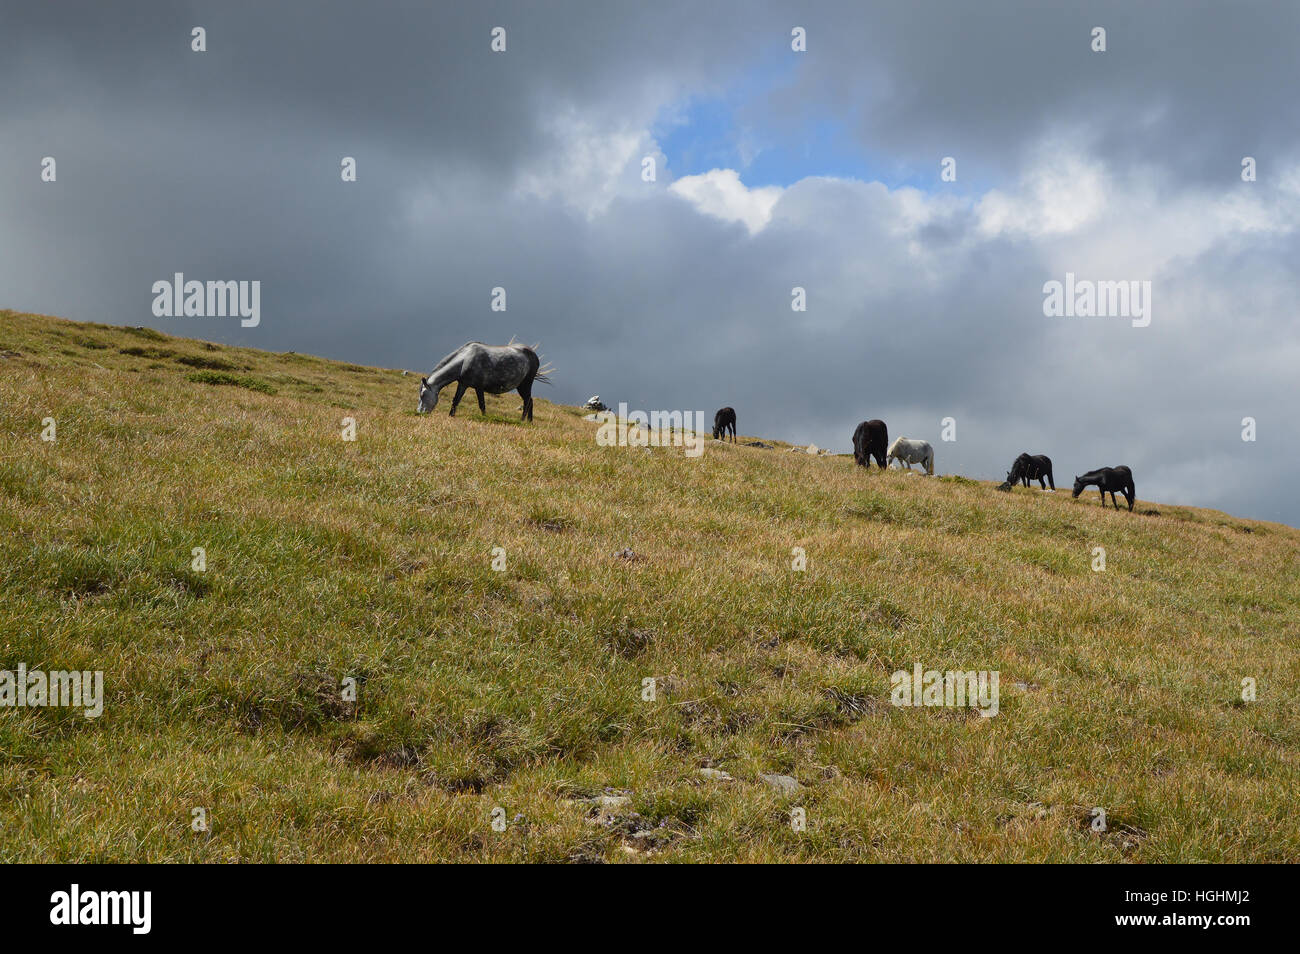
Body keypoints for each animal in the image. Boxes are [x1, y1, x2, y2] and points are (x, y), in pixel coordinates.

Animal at [417, 341, 550, 421]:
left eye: (422, 395)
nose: (419, 412)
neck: (465, 360)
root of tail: (533, 354)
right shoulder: (463, 384)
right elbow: (456, 400)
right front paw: (451, 415)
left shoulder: (479, 387)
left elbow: (482, 404)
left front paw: (484, 418)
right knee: (530, 401)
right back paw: (529, 421)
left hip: (525, 384)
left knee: (527, 401)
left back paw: (522, 420)